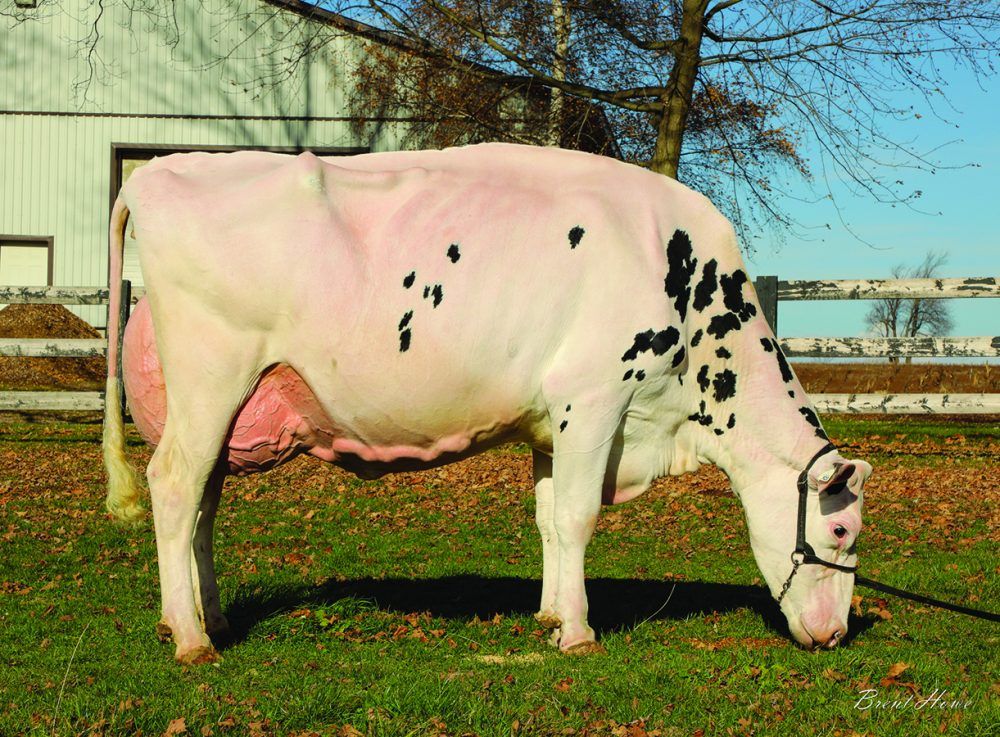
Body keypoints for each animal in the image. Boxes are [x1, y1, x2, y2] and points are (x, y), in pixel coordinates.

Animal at [102, 143, 871, 665]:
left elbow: (550, 520)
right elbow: (579, 516)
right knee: (174, 486)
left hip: (223, 403)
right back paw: (193, 638)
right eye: (840, 531)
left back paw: (210, 618)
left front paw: (550, 616)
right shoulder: (595, 398)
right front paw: (580, 632)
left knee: (203, 503)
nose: (836, 633)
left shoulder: (552, 424)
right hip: (212, 376)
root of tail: (158, 170)